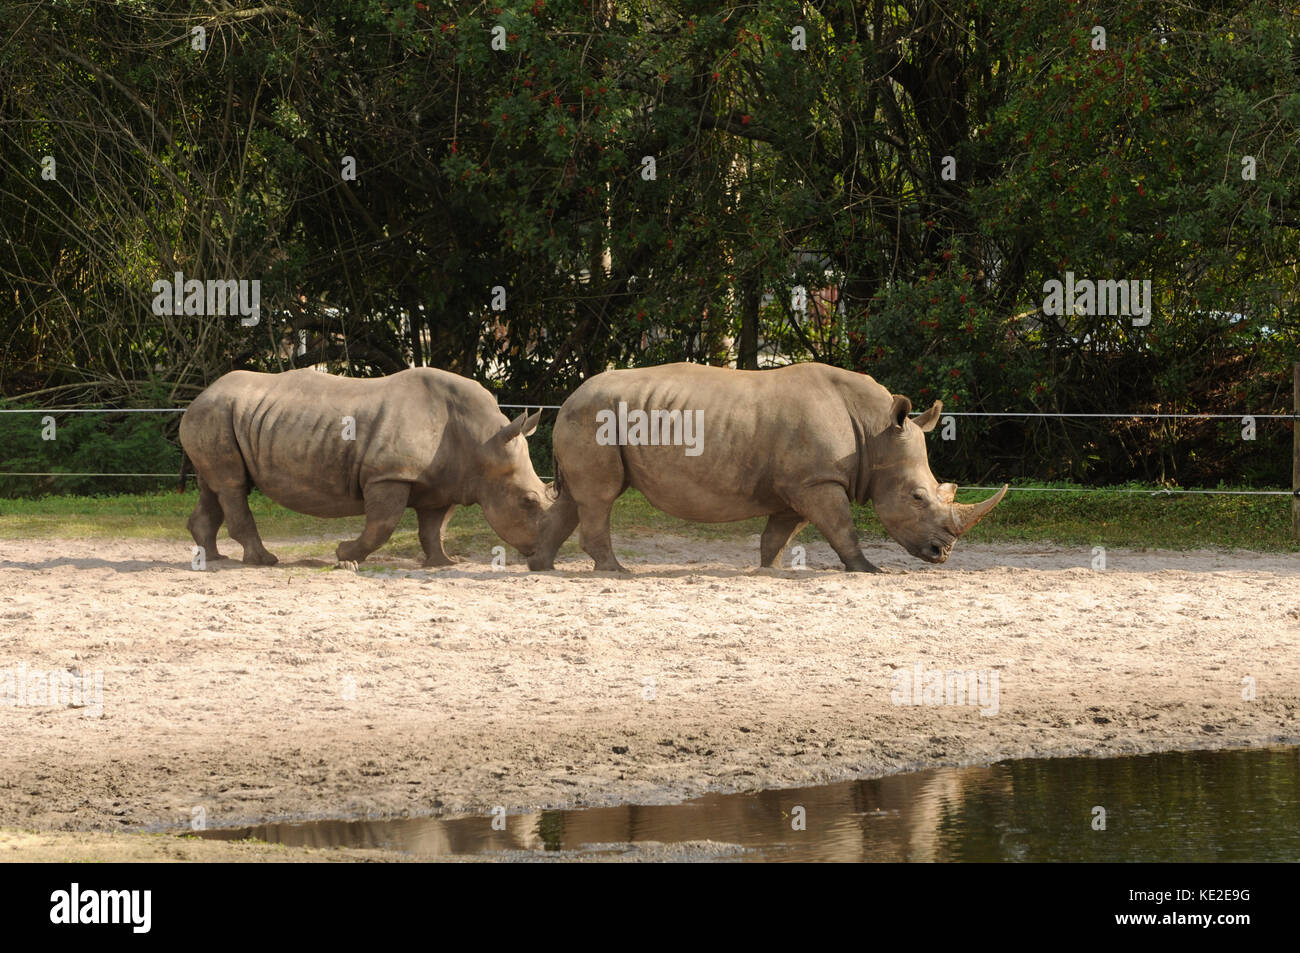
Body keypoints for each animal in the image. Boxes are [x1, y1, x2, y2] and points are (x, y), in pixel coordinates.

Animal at [179, 368, 548, 567]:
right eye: (529, 501)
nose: (540, 552)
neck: (483, 443)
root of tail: (198, 397)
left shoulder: (443, 483)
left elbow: (434, 528)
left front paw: (443, 563)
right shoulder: (389, 475)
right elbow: (382, 524)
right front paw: (345, 555)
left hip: (220, 415)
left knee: (213, 485)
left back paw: (212, 559)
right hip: (214, 412)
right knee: (232, 486)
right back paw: (263, 560)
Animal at [531, 362, 1007, 572]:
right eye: (917, 496)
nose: (942, 554)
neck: (875, 431)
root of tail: (567, 399)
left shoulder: (799, 485)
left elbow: (778, 536)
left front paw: (768, 571)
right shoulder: (818, 481)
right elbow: (843, 528)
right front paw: (869, 571)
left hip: (590, 418)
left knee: (576, 498)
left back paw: (542, 567)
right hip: (594, 418)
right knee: (600, 496)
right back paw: (616, 572)